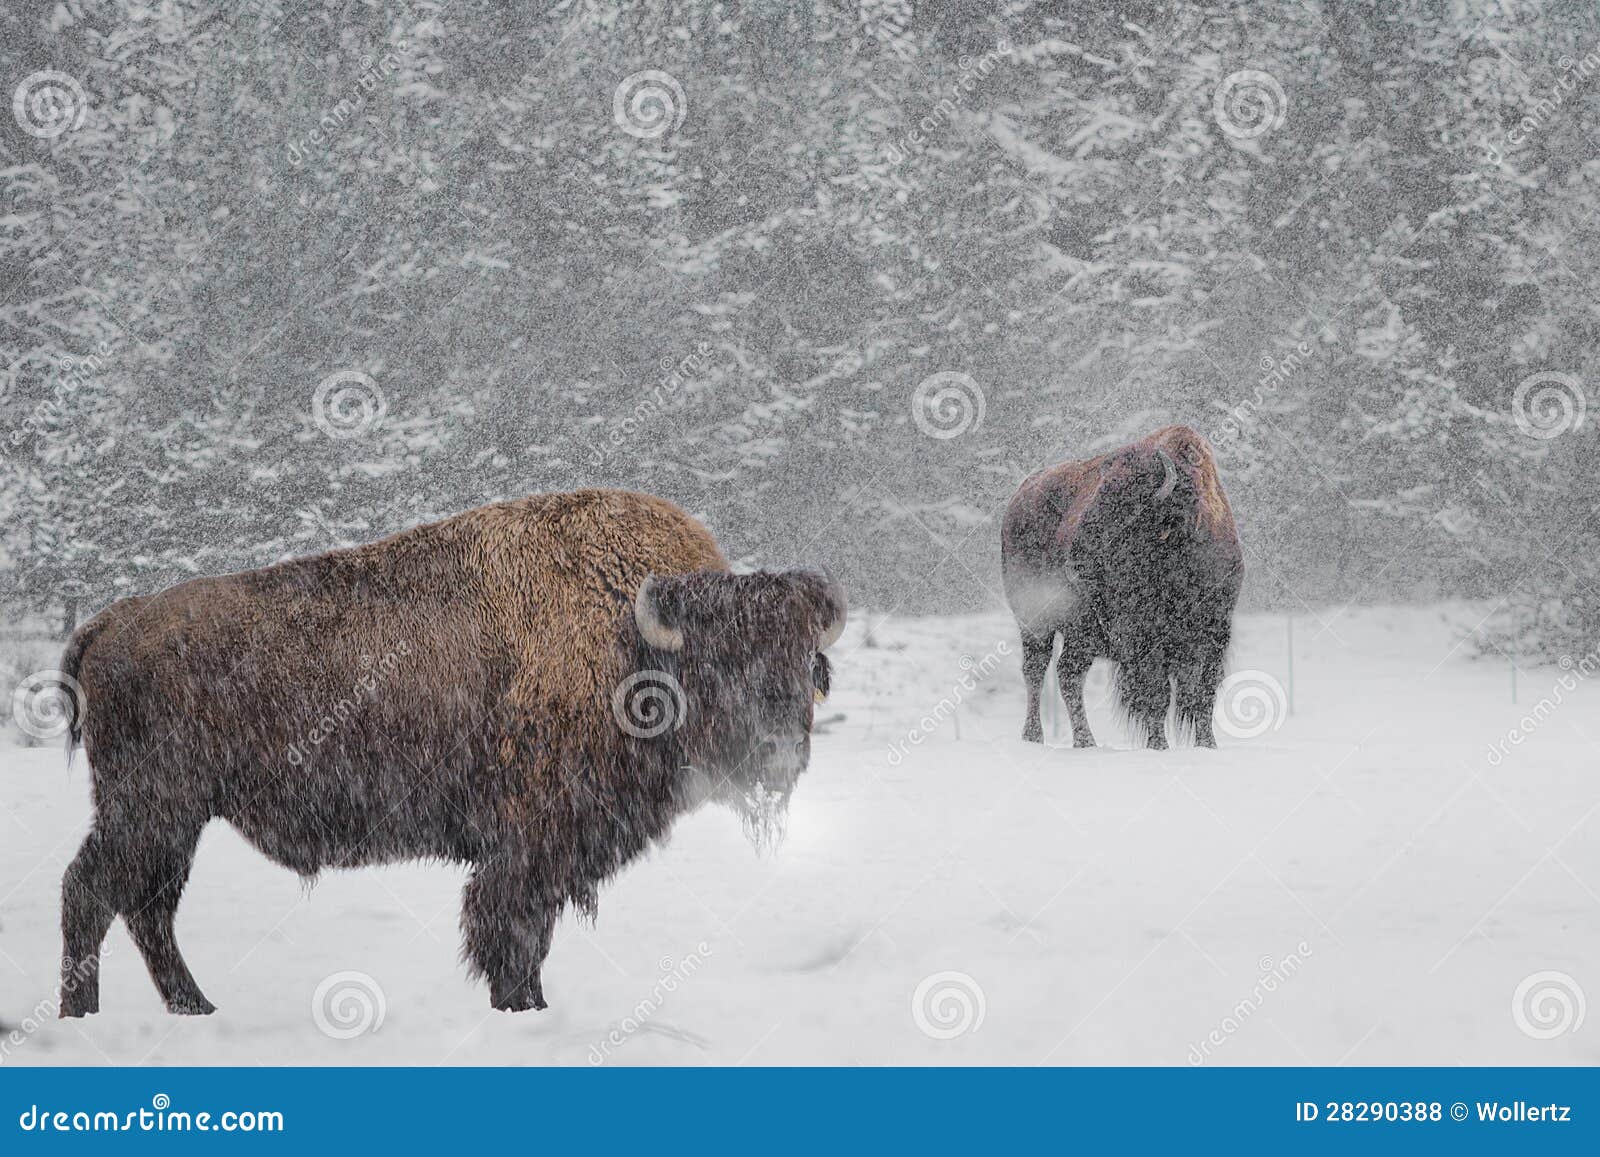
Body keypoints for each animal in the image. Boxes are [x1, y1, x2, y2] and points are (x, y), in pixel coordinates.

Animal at [57, 488, 844, 1016]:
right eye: (720, 661)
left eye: (807, 663)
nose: (779, 752)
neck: (633, 647)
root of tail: (111, 622)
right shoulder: (528, 849)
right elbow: (512, 935)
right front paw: (523, 1010)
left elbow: (528, 936)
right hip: (153, 809)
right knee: (93, 893)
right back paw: (88, 1013)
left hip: (174, 820)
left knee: (146, 907)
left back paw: (195, 1007)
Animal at [1001, 425, 1242, 749]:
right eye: (1098, 493)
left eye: (1126, 505)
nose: (1075, 560)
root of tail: (1018, 499)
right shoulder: (1142, 636)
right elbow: (1157, 694)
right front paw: (1158, 746)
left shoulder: (1215, 633)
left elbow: (1201, 695)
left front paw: (1208, 746)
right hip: (1033, 621)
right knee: (1036, 671)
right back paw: (1034, 737)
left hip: (1080, 635)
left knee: (1068, 673)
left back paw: (1085, 742)